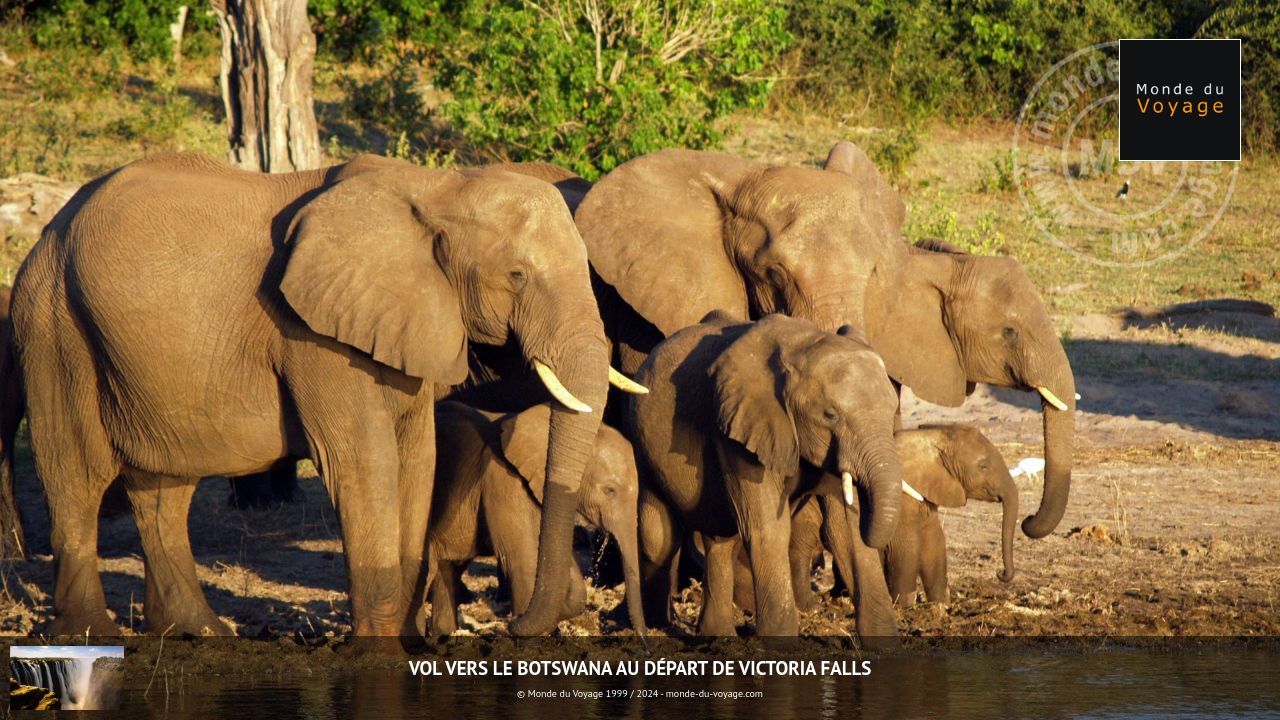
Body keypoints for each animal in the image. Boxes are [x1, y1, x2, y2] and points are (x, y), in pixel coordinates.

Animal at [6, 154, 614, 635]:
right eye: (517, 276)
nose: (513, 624)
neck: (435, 188)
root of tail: (50, 228)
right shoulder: (313, 335)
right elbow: (366, 463)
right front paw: (379, 651)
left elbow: (418, 460)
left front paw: (412, 644)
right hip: (55, 324)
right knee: (77, 474)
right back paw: (88, 633)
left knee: (163, 487)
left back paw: (201, 632)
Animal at [629, 312, 901, 632]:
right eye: (830, 415)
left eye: (893, 410)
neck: (802, 344)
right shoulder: (738, 427)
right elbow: (768, 528)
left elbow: (845, 529)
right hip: (641, 440)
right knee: (659, 535)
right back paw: (657, 625)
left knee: (721, 539)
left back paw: (716, 634)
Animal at [880, 422, 1018, 602]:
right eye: (983, 467)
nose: (1000, 573)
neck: (932, 436)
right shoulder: (898, 497)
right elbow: (905, 545)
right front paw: (905, 605)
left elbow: (934, 540)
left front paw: (941, 605)